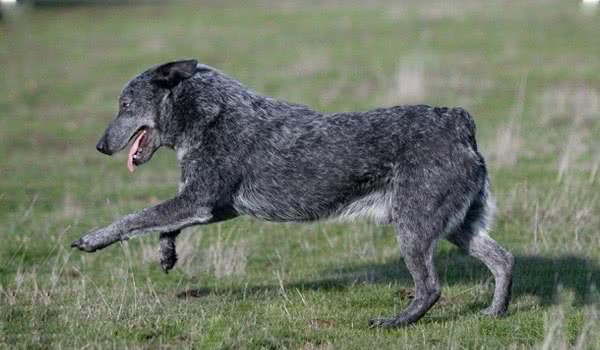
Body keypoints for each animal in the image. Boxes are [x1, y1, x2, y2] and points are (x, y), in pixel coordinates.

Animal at [70, 58, 510, 326]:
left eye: (125, 103)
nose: (100, 147)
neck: (210, 113)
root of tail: (459, 121)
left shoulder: (199, 201)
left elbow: (135, 219)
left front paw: (93, 239)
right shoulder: (213, 206)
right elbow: (162, 223)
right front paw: (166, 253)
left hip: (414, 227)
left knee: (431, 287)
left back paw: (395, 322)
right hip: (458, 227)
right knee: (503, 259)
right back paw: (495, 311)